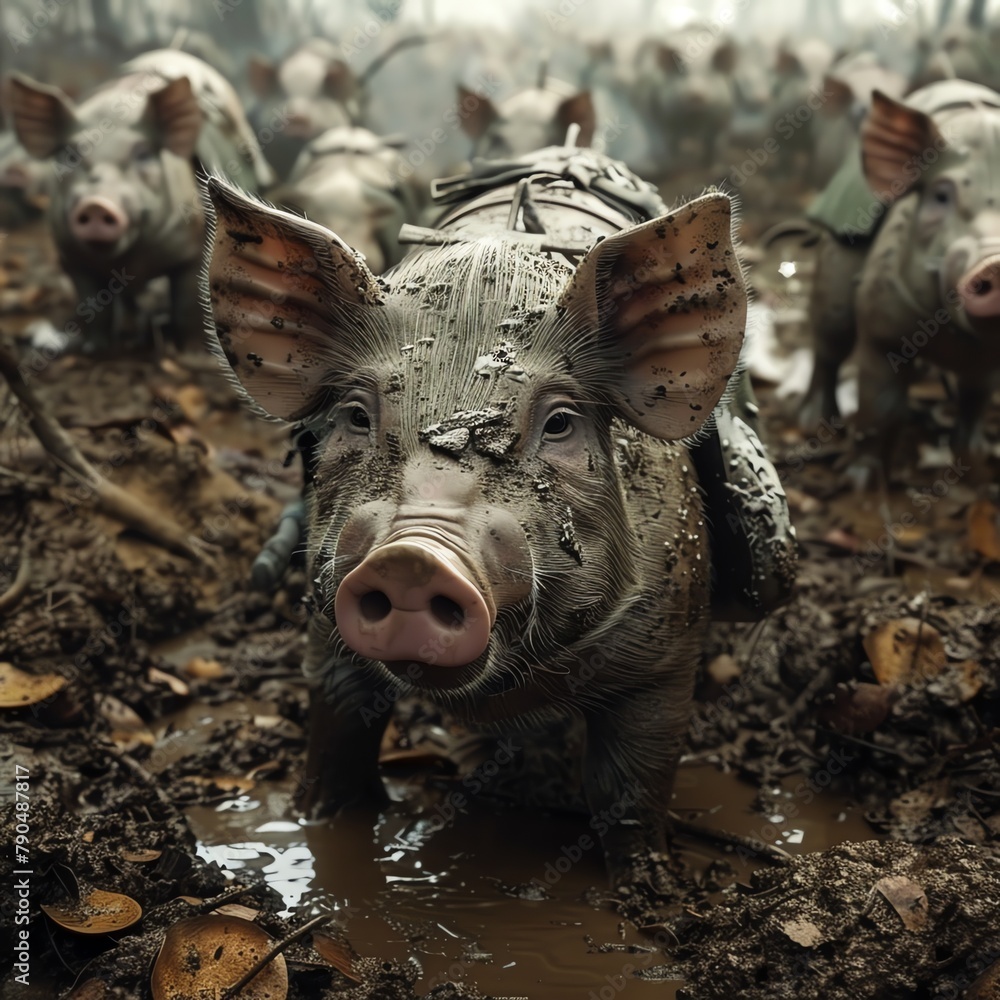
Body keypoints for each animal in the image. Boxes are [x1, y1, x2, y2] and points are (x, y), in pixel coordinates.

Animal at [8, 49, 272, 352]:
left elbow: (188, 305)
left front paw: (190, 353)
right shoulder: (71, 257)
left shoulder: (192, 250)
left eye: (143, 153)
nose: (96, 204)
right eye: (69, 155)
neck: (131, 260)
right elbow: (92, 307)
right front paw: (95, 350)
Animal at [201, 147, 754, 880]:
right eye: (356, 415)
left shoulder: (669, 643)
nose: (413, 558)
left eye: (559, 423)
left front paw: (646, 882)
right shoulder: (322, 608)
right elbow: (338, 720)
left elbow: (634, 780)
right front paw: (312, 823)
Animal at [799, 80, 1000, 470]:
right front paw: (859, 483)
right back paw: (811, 425)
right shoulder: (881, 322)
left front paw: (973, 458)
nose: (994, 261)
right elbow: (880, 406)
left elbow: (977, 396)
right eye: (941, 196)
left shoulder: (986, 361)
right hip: (836, 259)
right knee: (828, 343)